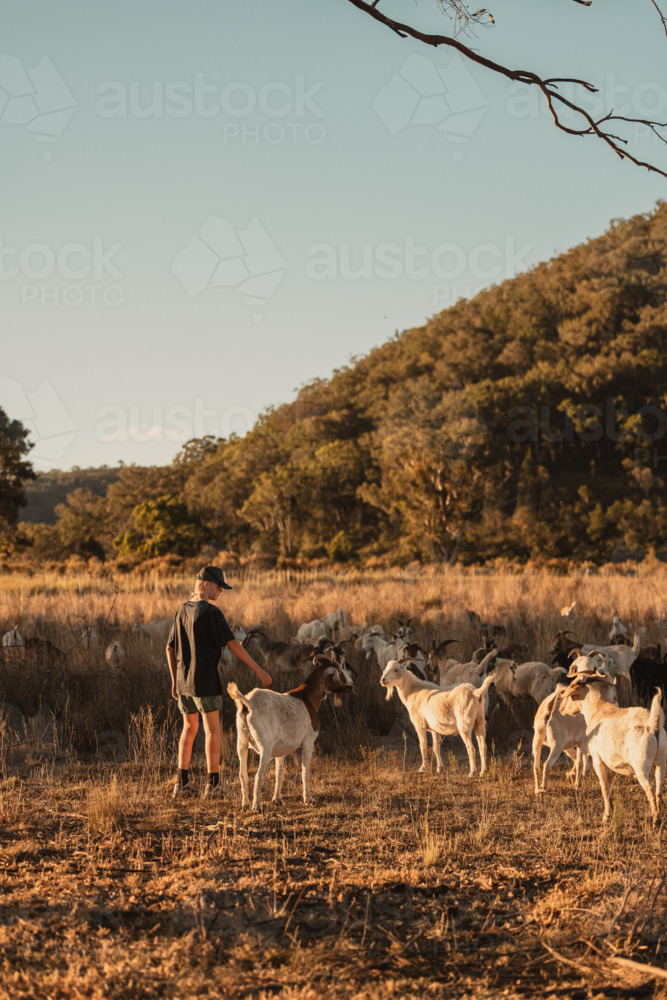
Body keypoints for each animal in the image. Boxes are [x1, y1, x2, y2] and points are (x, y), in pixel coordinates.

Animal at [228, 656, 354, 810]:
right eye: (340, 671)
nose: (351, 685)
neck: (307, 698)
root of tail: (248, 703)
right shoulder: (308, 742)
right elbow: (305, 772)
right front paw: (308, 799)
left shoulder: (280, 750)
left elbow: (279, 773)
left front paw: (277, 800)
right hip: (265, 747)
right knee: (258, 775)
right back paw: (256, 806)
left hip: (242, 742)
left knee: (243, 774)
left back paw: (245, 804)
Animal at [559, 674, 667, 825]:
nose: (561, 708)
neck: (599, 709)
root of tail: (653, 725)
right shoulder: (610, 764)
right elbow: (609, 787)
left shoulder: (597, 758)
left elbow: (604, 788)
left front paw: (606, 817)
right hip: (661, 763)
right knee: (659, 790)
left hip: (641, 767)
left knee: (650, 790)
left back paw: (656, 820)